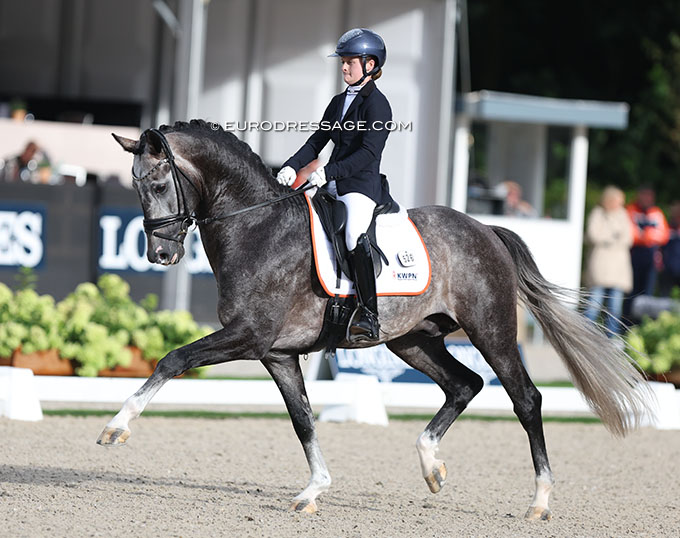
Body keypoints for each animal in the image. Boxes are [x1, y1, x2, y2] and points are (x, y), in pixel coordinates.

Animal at [99, 119, 650, 520]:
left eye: (158, 182)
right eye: (135, 187)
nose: (161, 255)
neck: (258, 226)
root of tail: (486, 229)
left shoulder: (248, 337)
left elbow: (173, 359)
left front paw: (116, 427)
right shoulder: (276, 354)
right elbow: (302, 420)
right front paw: (314, 490)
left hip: (490, 331)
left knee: (526, 400)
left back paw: (539, 502)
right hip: (412, 341)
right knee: (465, 384)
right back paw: (431, 466)